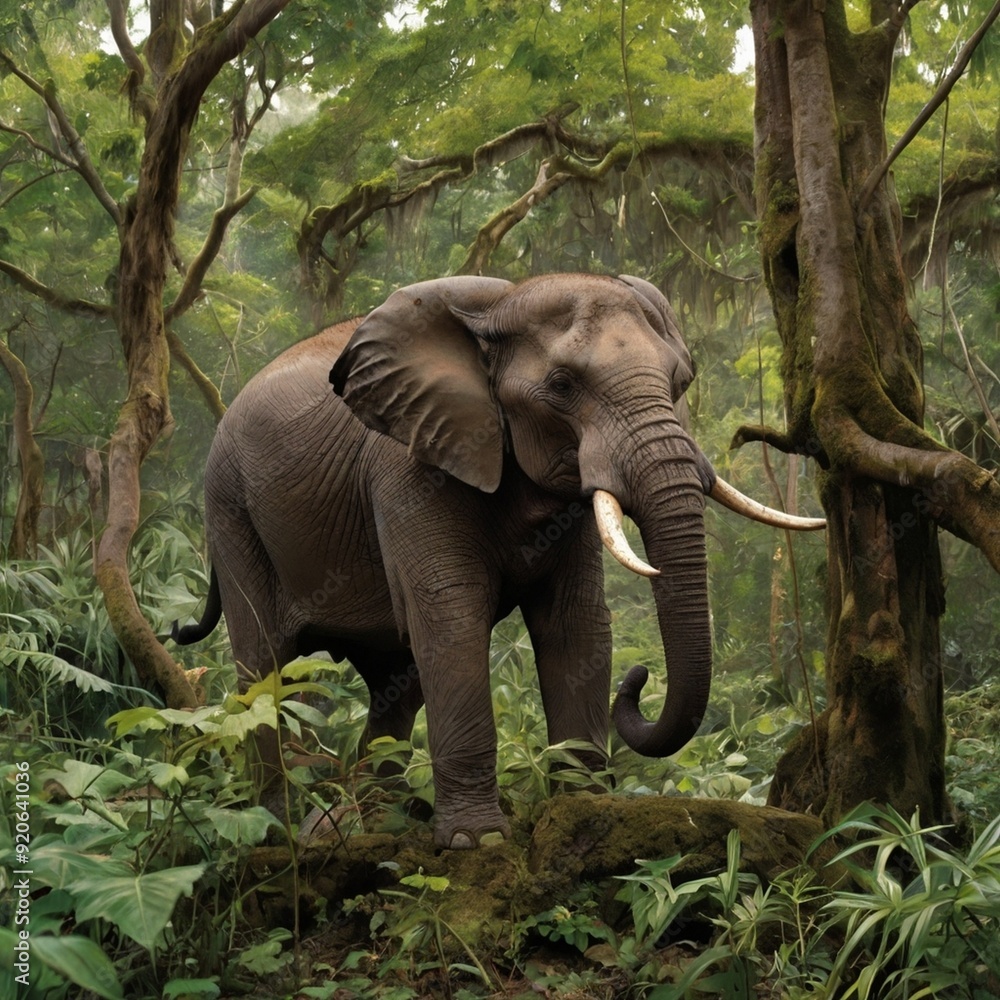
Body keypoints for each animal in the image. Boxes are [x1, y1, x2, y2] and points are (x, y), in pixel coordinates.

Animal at [174, 272, 824, 849]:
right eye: (561, 384)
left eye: (679, 380)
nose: (639, 679)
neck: (502, 305)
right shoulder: (409, 465)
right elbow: (452, 617)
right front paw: (476, 843)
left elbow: (576, 622)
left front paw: (584, 812)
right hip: (229, 509)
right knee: (264, 670)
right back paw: (279, 833)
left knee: (396, 680)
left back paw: (374, 825)